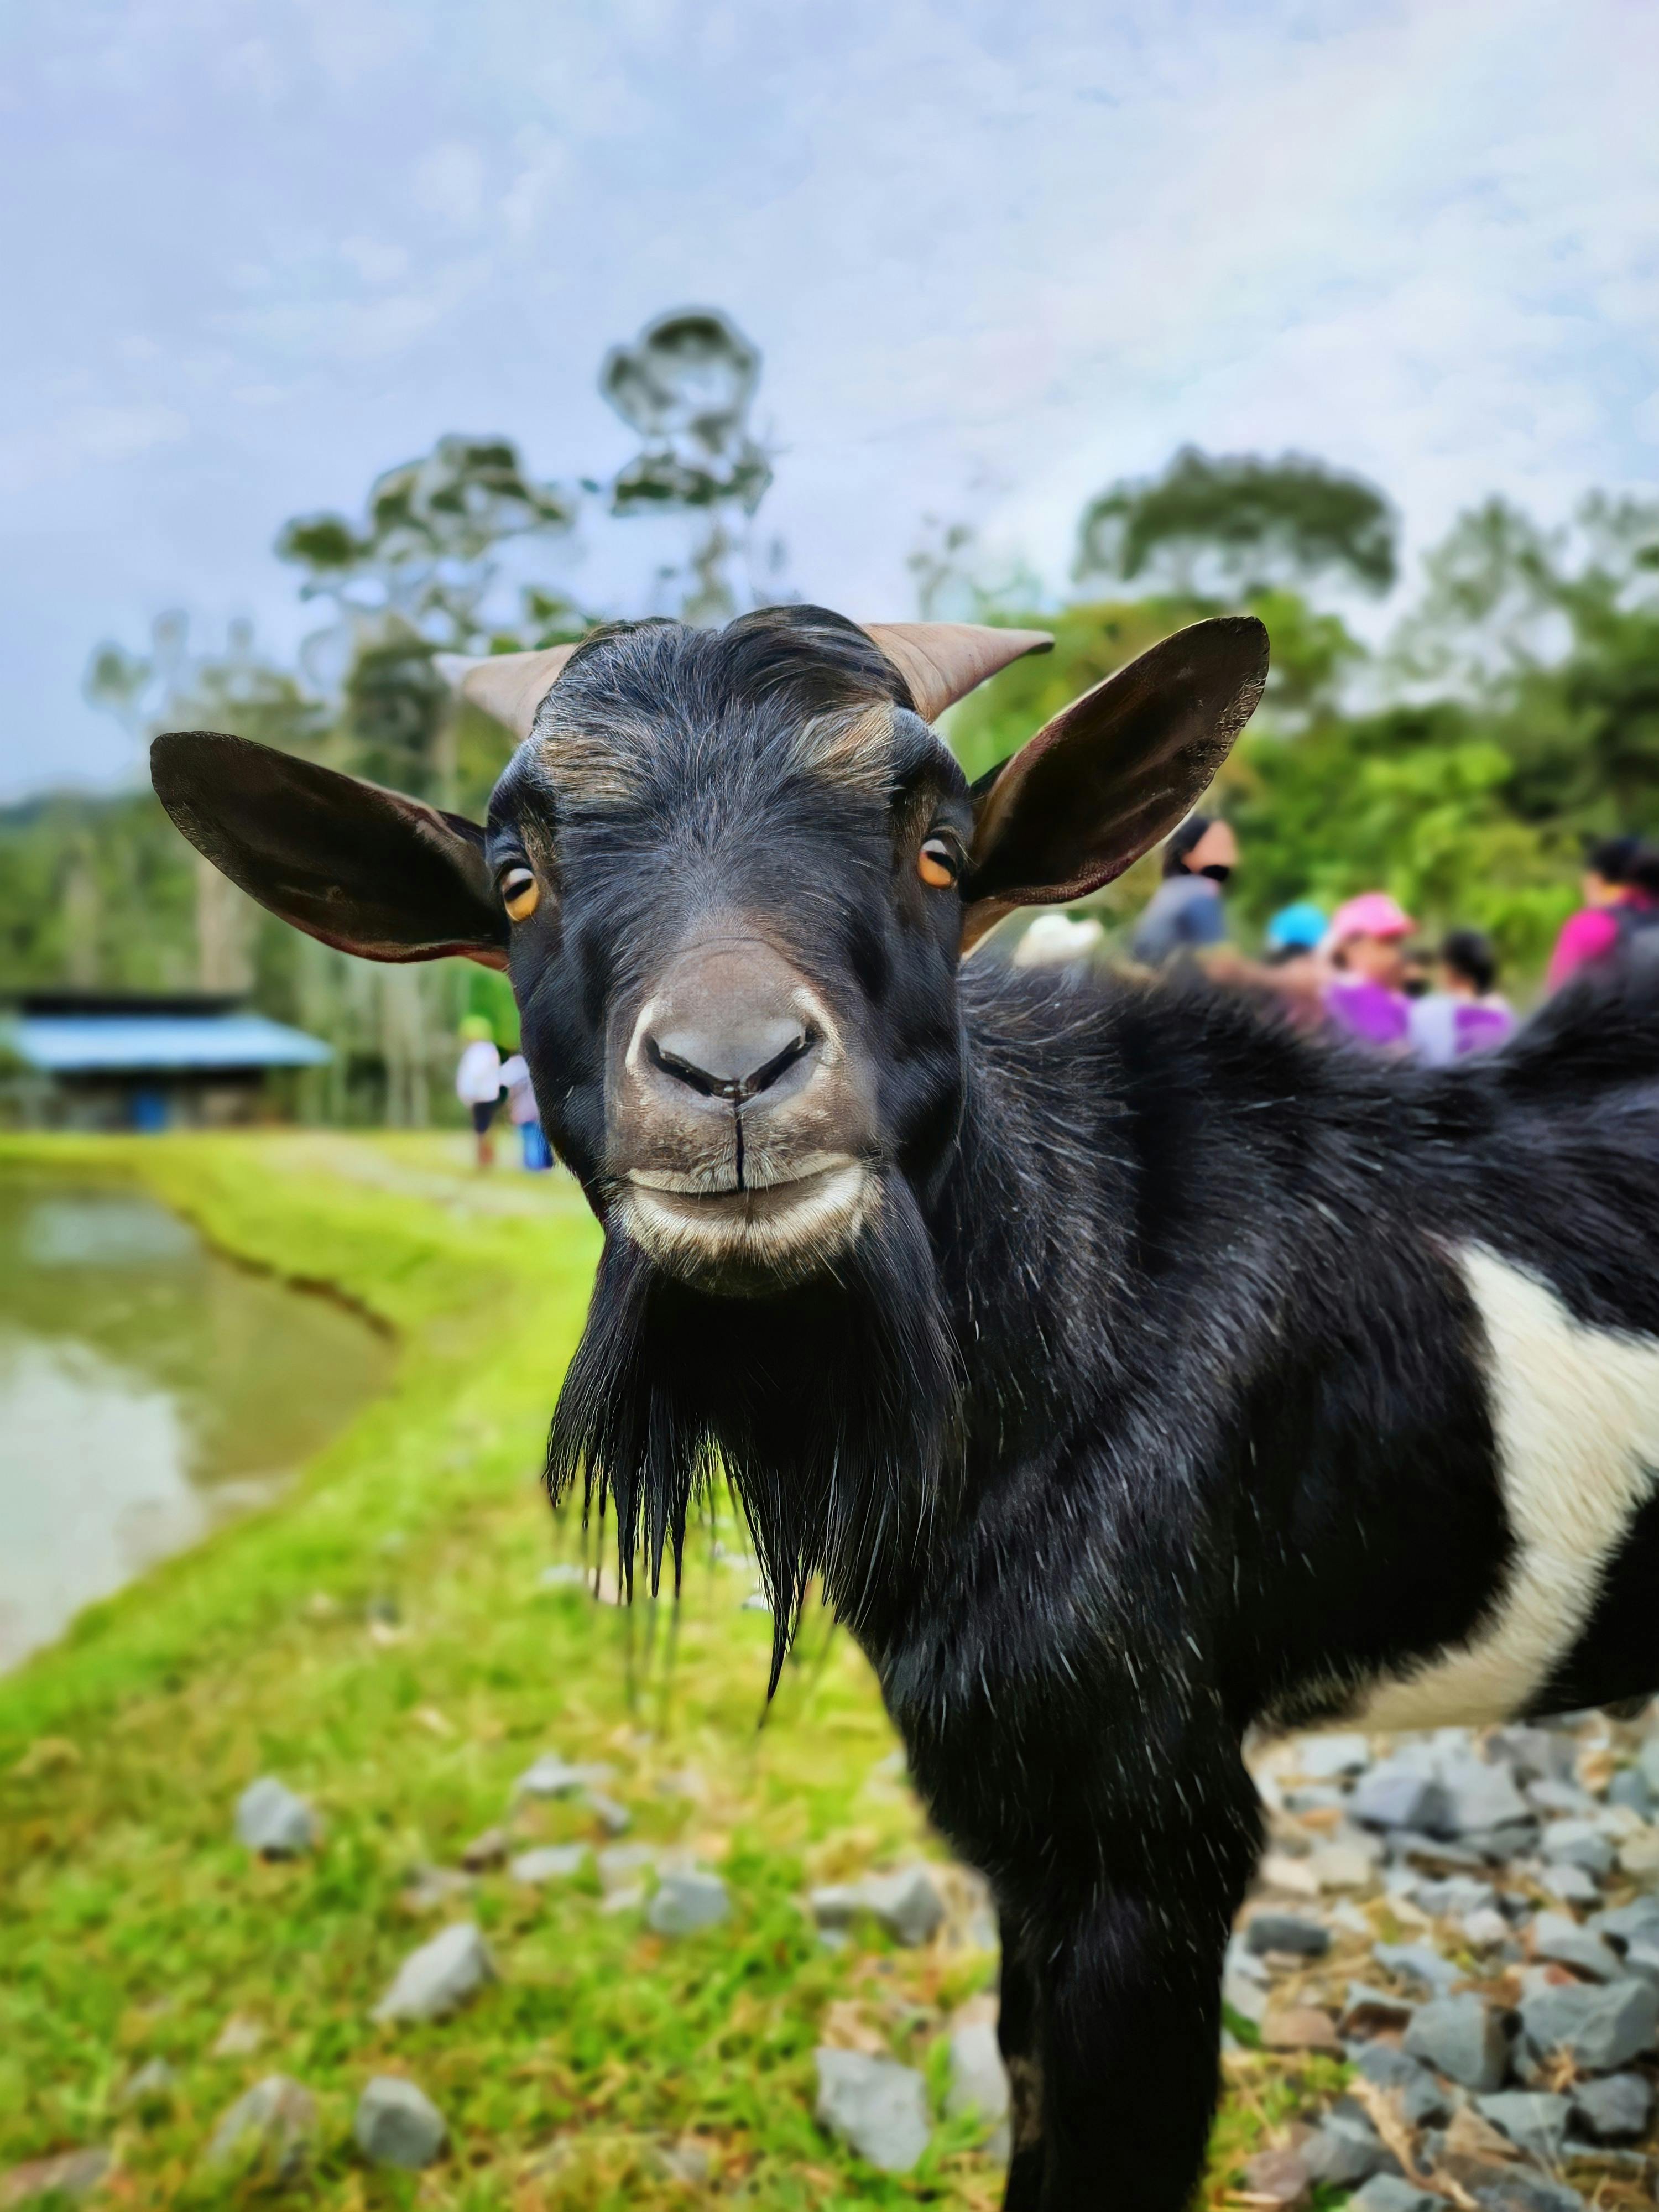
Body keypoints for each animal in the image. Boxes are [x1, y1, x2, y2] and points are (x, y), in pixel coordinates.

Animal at [152, 606, 1659, 2211]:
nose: (732, 1071)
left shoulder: (1150, 1824)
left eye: (938, 850)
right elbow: (1026, 2084)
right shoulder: (1013, 1810)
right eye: (516, 878)